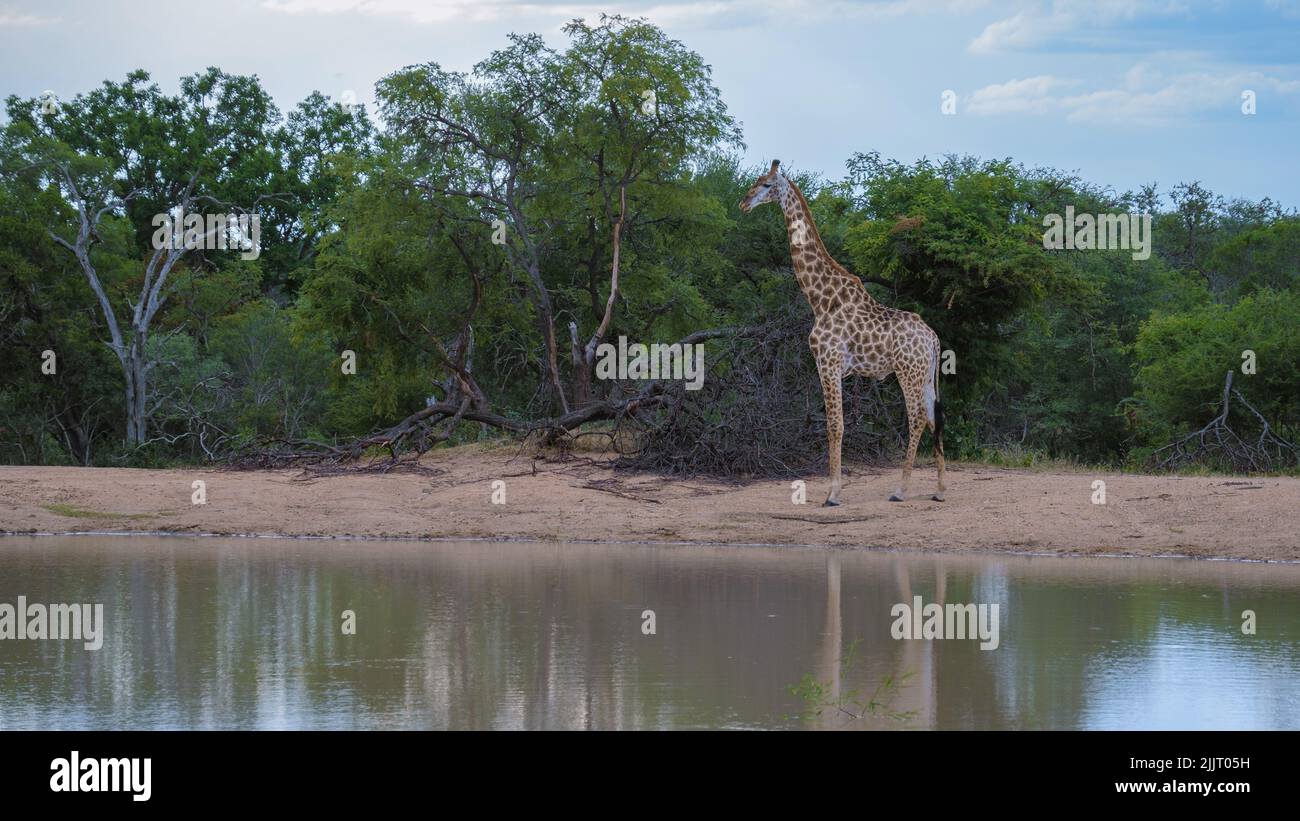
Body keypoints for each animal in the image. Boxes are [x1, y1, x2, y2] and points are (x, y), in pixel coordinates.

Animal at [739, 160, 946, 506]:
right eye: (756, 180)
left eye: (767, 184)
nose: (744, 202)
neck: (820, 299)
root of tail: (934, 339)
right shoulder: (831, 366)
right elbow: (833, 425)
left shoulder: (829, 362)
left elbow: (835, 426)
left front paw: (833, 494)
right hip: (926, 373)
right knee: (934, 417)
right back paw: (940, 490)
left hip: (908, 371)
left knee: (918, 417)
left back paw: (900, 490)